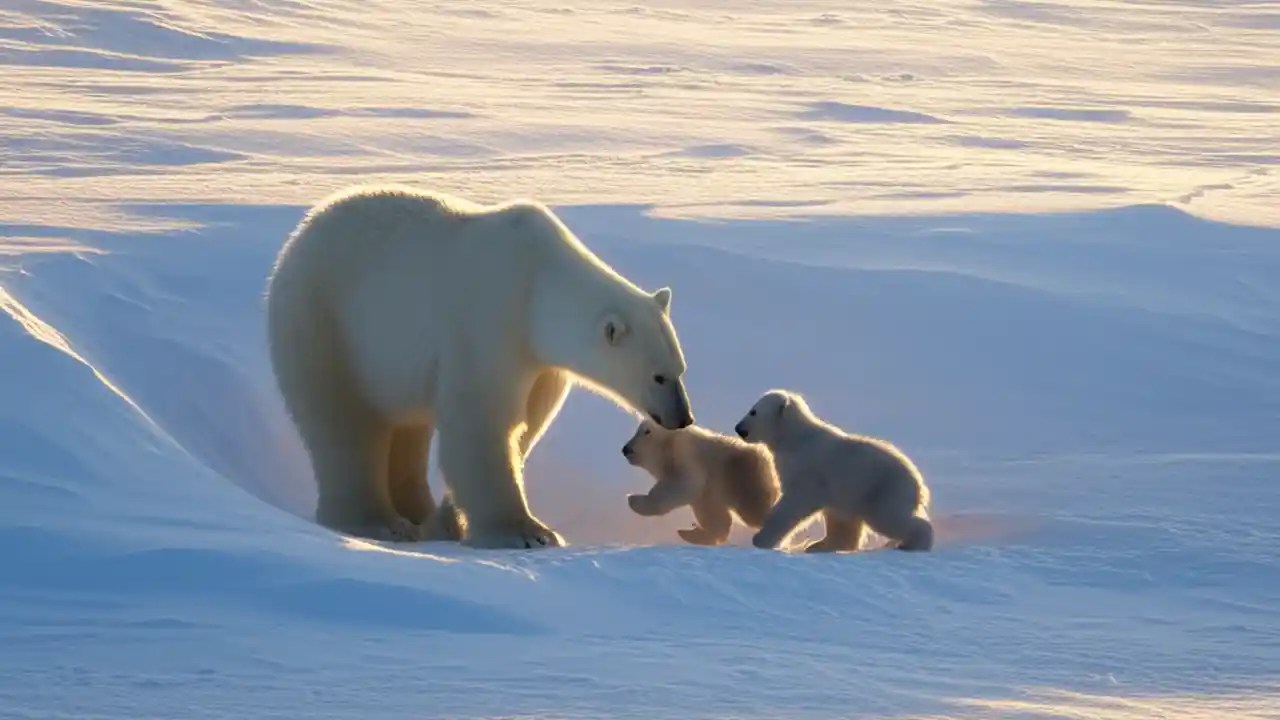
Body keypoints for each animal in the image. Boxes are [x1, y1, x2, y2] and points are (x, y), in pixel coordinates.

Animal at [266, 186, 694, 549]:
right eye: (658, 376)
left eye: (681, 369)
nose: (684, 418)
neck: (539, 280)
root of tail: (296, 238)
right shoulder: (490, 320)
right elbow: (482, 422)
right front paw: (526, 532)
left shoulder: (541, 364)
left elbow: (526, 426)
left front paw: (451, 519)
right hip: (326, 322)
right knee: (343, 421)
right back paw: (379, 522)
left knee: (408, 427)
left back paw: (420, 516)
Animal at [621, 419, 780, 546]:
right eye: (636, 431)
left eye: (646, 431)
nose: (626, 449)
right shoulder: (708, 490)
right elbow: (713, 515)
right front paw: (693, 533)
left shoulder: (687, 455)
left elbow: (684, 484)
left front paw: (633, 499)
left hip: (745, 477)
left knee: (754, 509)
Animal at [733, 389, 933, 553]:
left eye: (753, 411)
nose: (739, 429)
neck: (794, 438)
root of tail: (919, 484)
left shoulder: (806, 470)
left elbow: (793, 503)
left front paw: (761, 538)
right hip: (853, 493)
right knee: (845, 521)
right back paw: (818, 545)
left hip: (882, 488)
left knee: (890, 517)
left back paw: (913, 543)